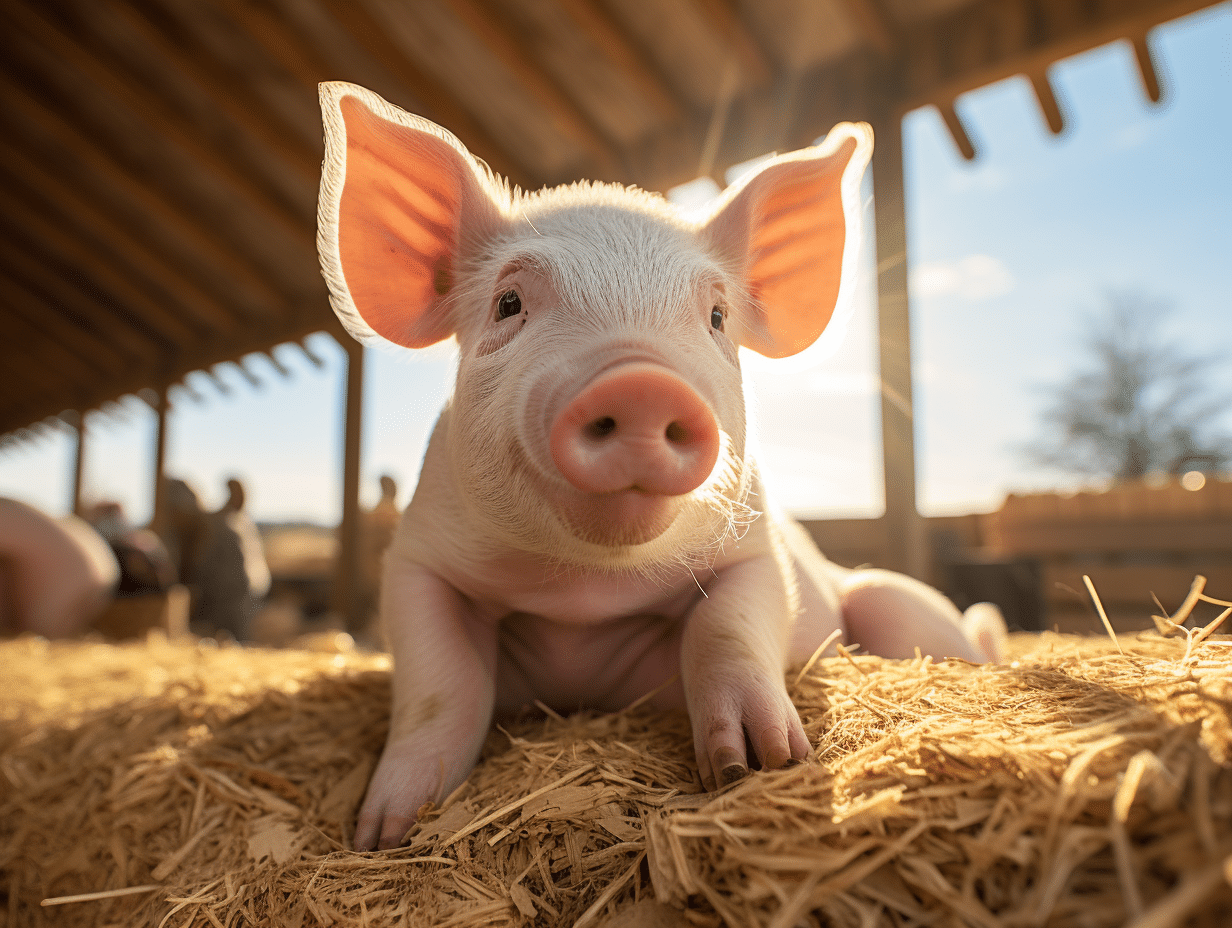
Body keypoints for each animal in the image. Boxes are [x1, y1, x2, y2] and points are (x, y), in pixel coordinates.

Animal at [317, 81, 1007, 851]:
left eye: (716, 316)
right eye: (508, 303)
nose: (640, 382)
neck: (582, 598)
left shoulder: (757, 554)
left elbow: (727, 630)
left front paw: (757, 763)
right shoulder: (417, 563)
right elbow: (440, 686)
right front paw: (383, 832)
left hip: (899, 604)